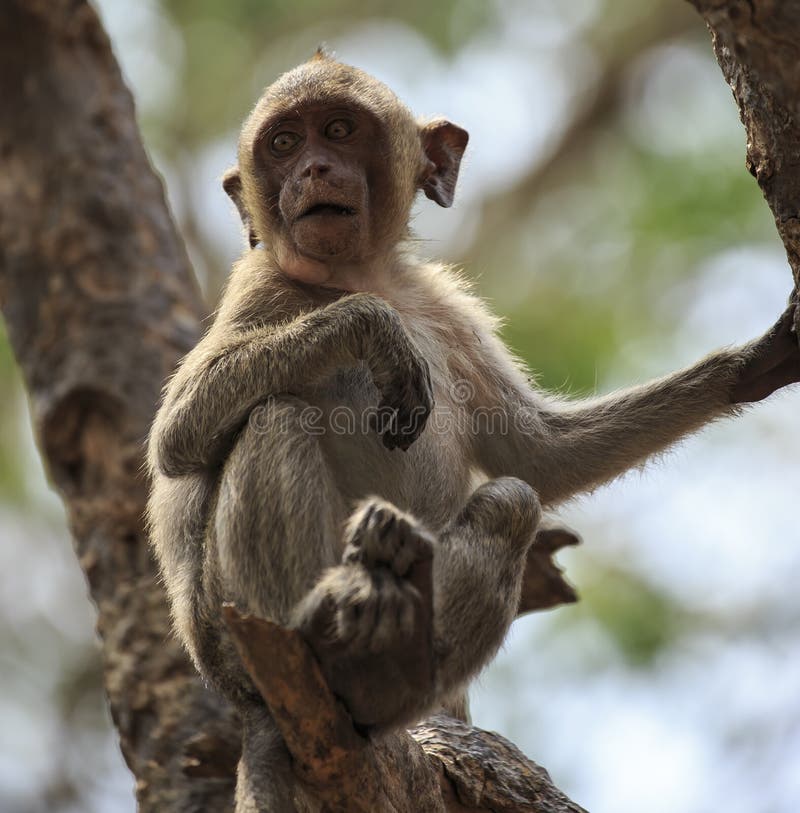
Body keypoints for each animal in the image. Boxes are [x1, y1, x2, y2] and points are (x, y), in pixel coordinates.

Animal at [146, 52, 800, 812]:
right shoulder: (259, 284)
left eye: (338, 130)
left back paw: (380, 678)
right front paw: (368, 326)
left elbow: (540, 456)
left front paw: (753, 366)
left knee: (510, 504)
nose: (312, 169)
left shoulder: (446, 309)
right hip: (229, 632)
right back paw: (323, 632)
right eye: (283, 144)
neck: (356, 273)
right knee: (273, 414)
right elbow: (179, 433)